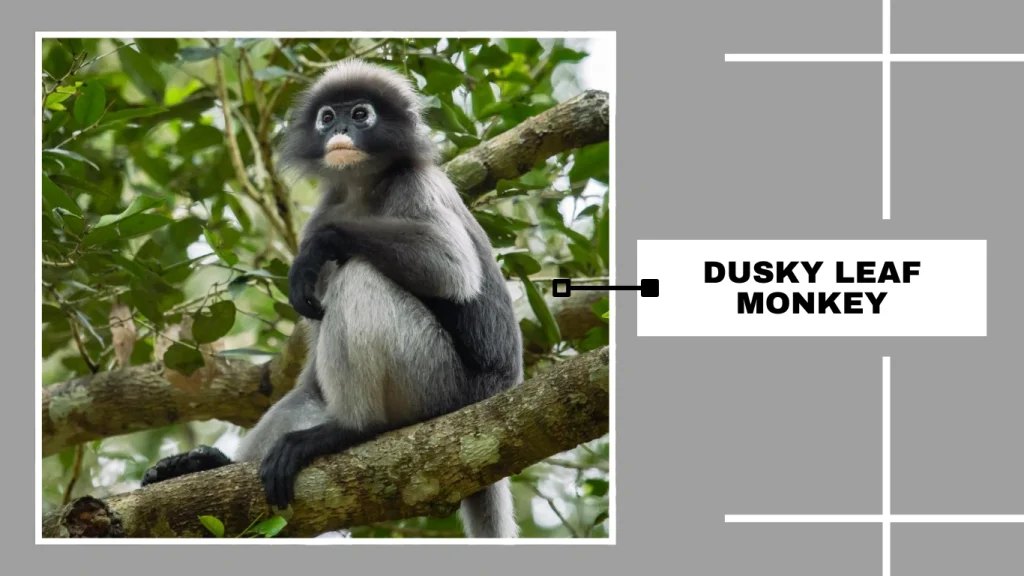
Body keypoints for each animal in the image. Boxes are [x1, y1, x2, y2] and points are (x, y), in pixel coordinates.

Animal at [141, 59, 524, 539]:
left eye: (361, 114)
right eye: (327, 117)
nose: (341, 127)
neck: (362, 189)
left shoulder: (414, 183)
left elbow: (451, 267)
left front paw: (321, 246)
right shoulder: (326, 206)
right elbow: (309, 378)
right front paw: (205, 464)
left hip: (440, 385)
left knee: (359, 274)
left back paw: (351, 429)